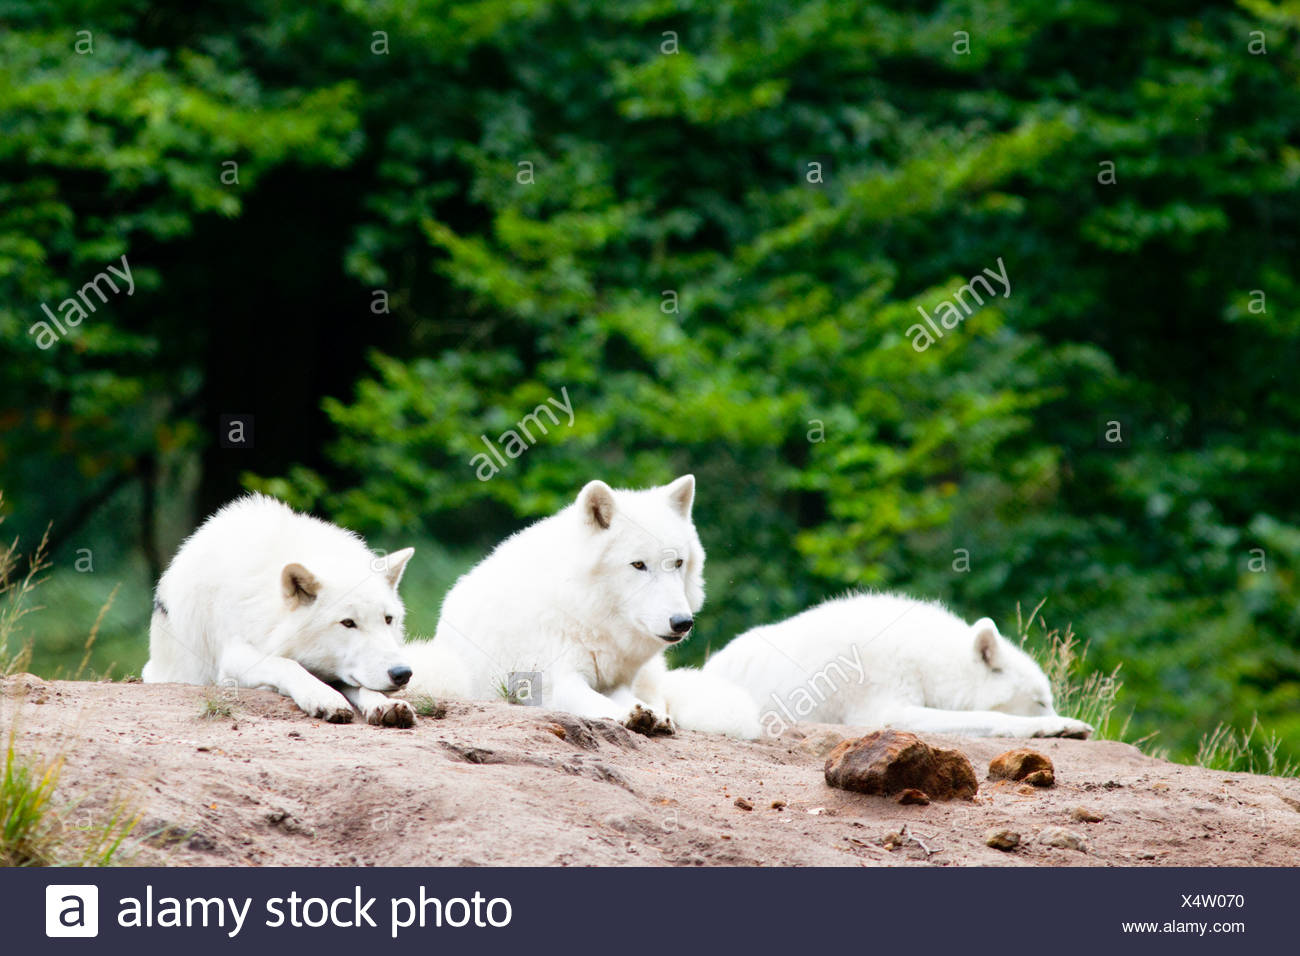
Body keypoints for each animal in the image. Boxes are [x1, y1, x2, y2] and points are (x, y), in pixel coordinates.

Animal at [143, 494, 418, 726]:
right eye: (348, 623)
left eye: (388, 619)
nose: (403, 673)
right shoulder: (233, 658)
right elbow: (286, 664)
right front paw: (322, 697)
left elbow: (362, 686)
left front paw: (385, 705)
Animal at [404, 475, 760, 738]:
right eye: (638, 565)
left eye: (678, 563)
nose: (682, 622)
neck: (583, 612)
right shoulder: (553, 681)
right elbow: (593, 700)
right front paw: (629, 716)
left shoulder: (617, 682)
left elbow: (630, 699)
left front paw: (649, 715)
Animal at [702, 592, 1093, 739]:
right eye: (1040, 702)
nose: (1053, 713)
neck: (924, 660)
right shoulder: (884, 712)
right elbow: (992, 717)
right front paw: (1061, 726)